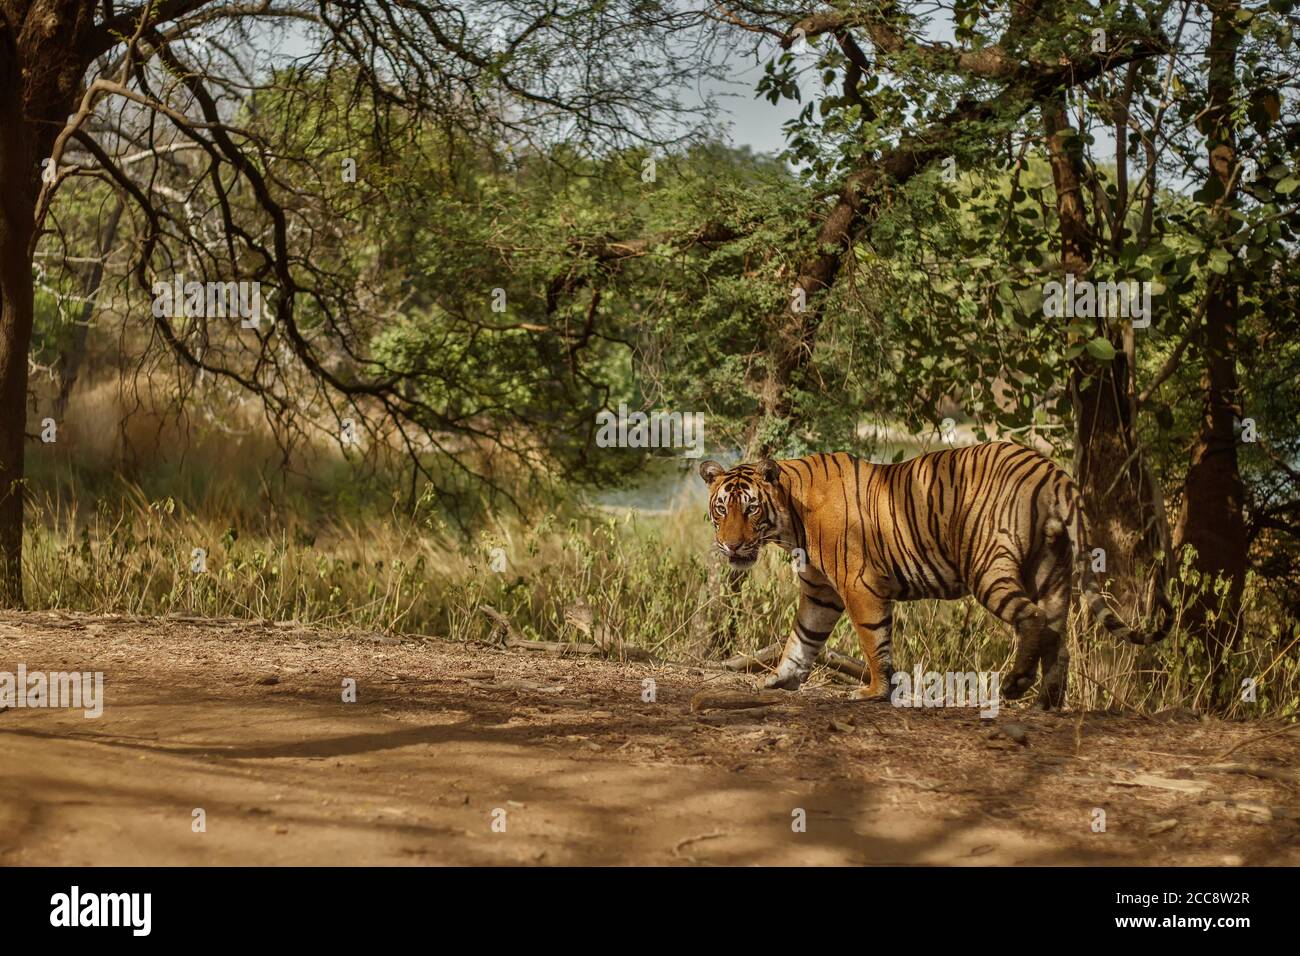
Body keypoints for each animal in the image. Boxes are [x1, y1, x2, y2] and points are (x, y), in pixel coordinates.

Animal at [699, 441, 1172, 709]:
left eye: (751, 509)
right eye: (722, 508)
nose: (732, 546)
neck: (789, 519)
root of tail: (1049, 468)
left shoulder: (857, 584)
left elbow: (873, 640)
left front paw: (873, 692)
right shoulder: (820, 591)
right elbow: (801, 638)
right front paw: (779, 679)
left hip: (988, 565)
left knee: (1033, 619)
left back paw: (1016, 685)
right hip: (1052, 569)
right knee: (1058, 634)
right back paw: (1047, 702)